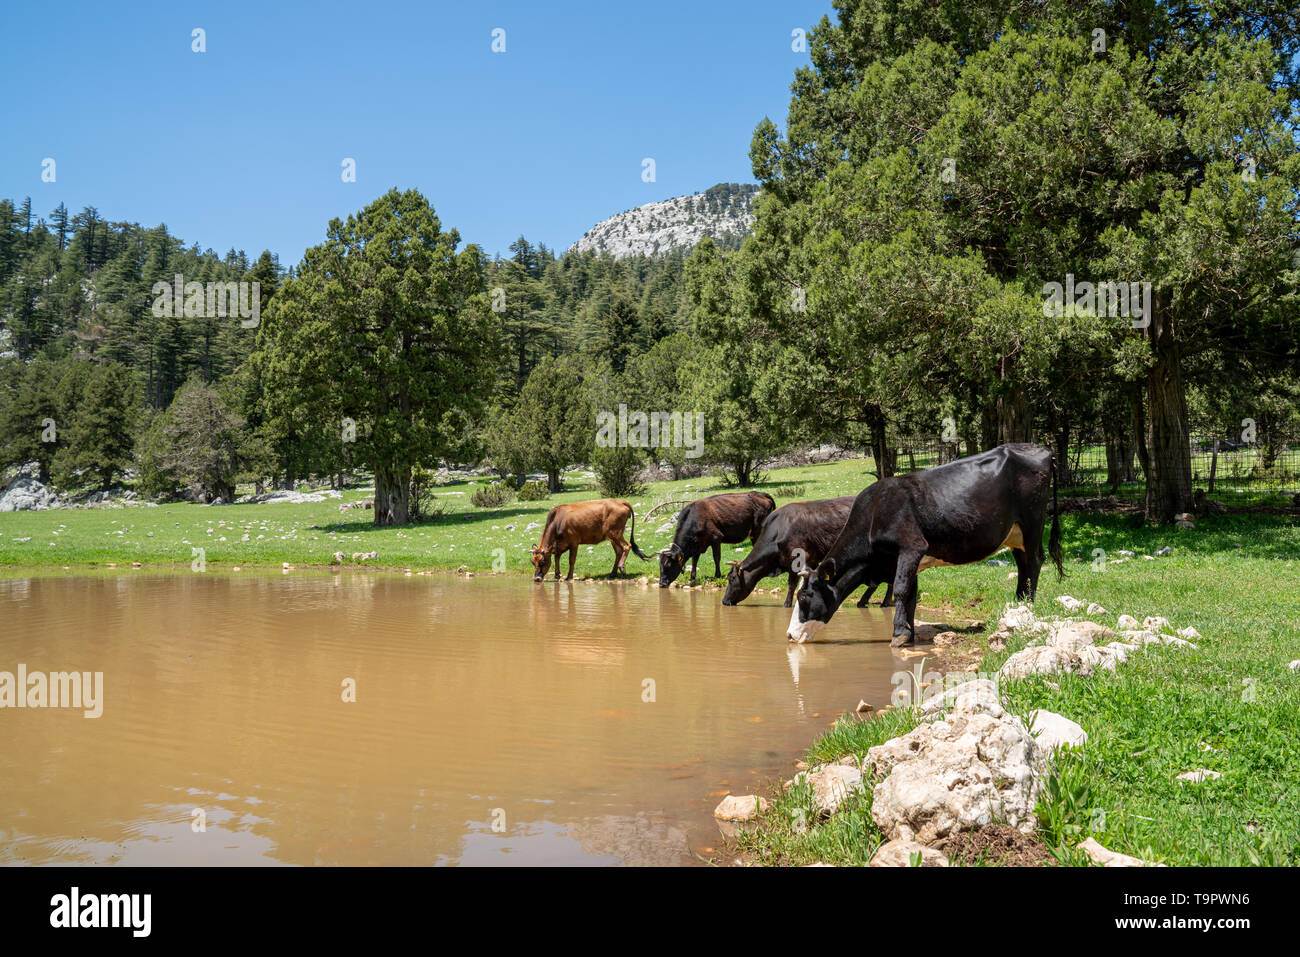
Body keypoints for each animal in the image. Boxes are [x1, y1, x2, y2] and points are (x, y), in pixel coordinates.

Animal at [785, 444, 1060, 647]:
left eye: (804, 596)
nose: (788, 635)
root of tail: (1041, 449)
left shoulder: (911, 546)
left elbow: (900, 590)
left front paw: (898, 635)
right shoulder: (911, 559)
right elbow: (911, 596)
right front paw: (909, 633)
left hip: (1033, 522)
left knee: (1034, 562)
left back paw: (1026, 604)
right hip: (1015, 533)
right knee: (1023, 564)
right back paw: (1016, 602)